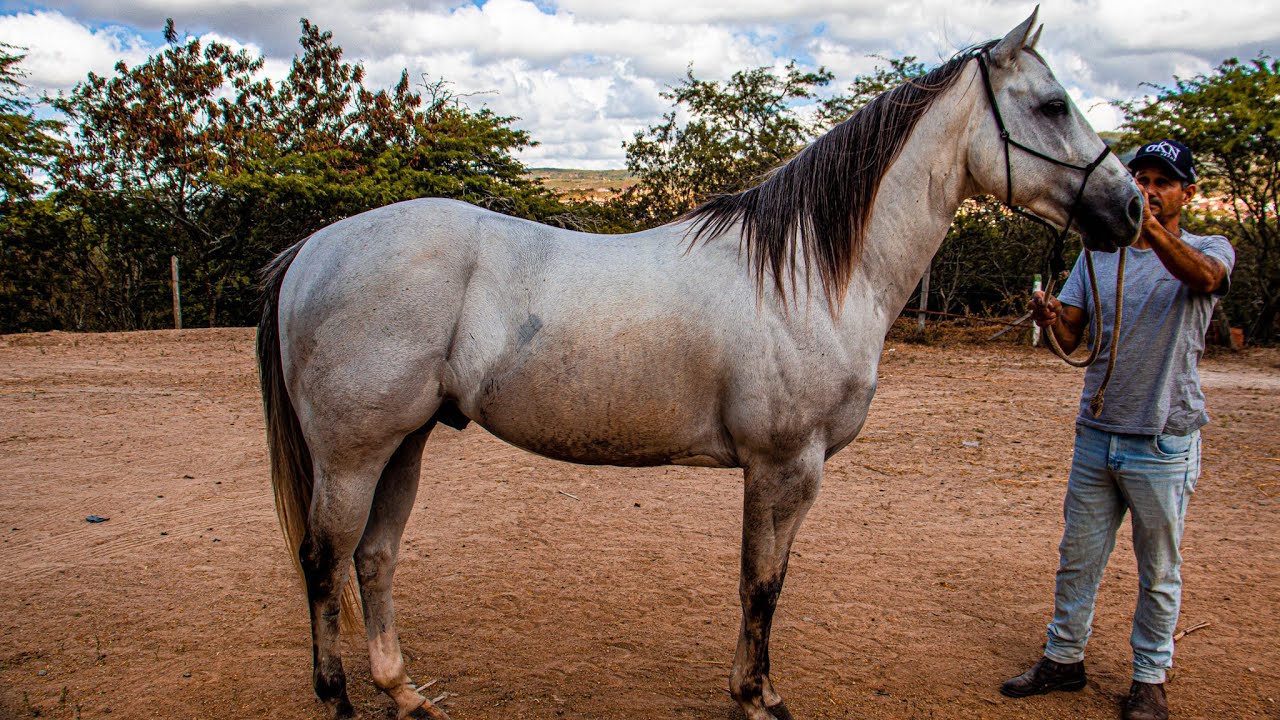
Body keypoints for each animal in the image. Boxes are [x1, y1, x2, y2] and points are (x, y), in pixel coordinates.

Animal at [257, 10, 1141, 720]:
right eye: (1052, 105)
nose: (1130, 207)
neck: (811, 274)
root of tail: (315, 248)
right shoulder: (784, 466)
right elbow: (760, 584)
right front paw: (756, 699)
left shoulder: (795, 471)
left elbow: (771, 582)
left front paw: (759, 691)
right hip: (352, 455)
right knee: (323, 561)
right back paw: (338, 699)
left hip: (404, 444)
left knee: (373, 560)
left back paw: (404, 693)